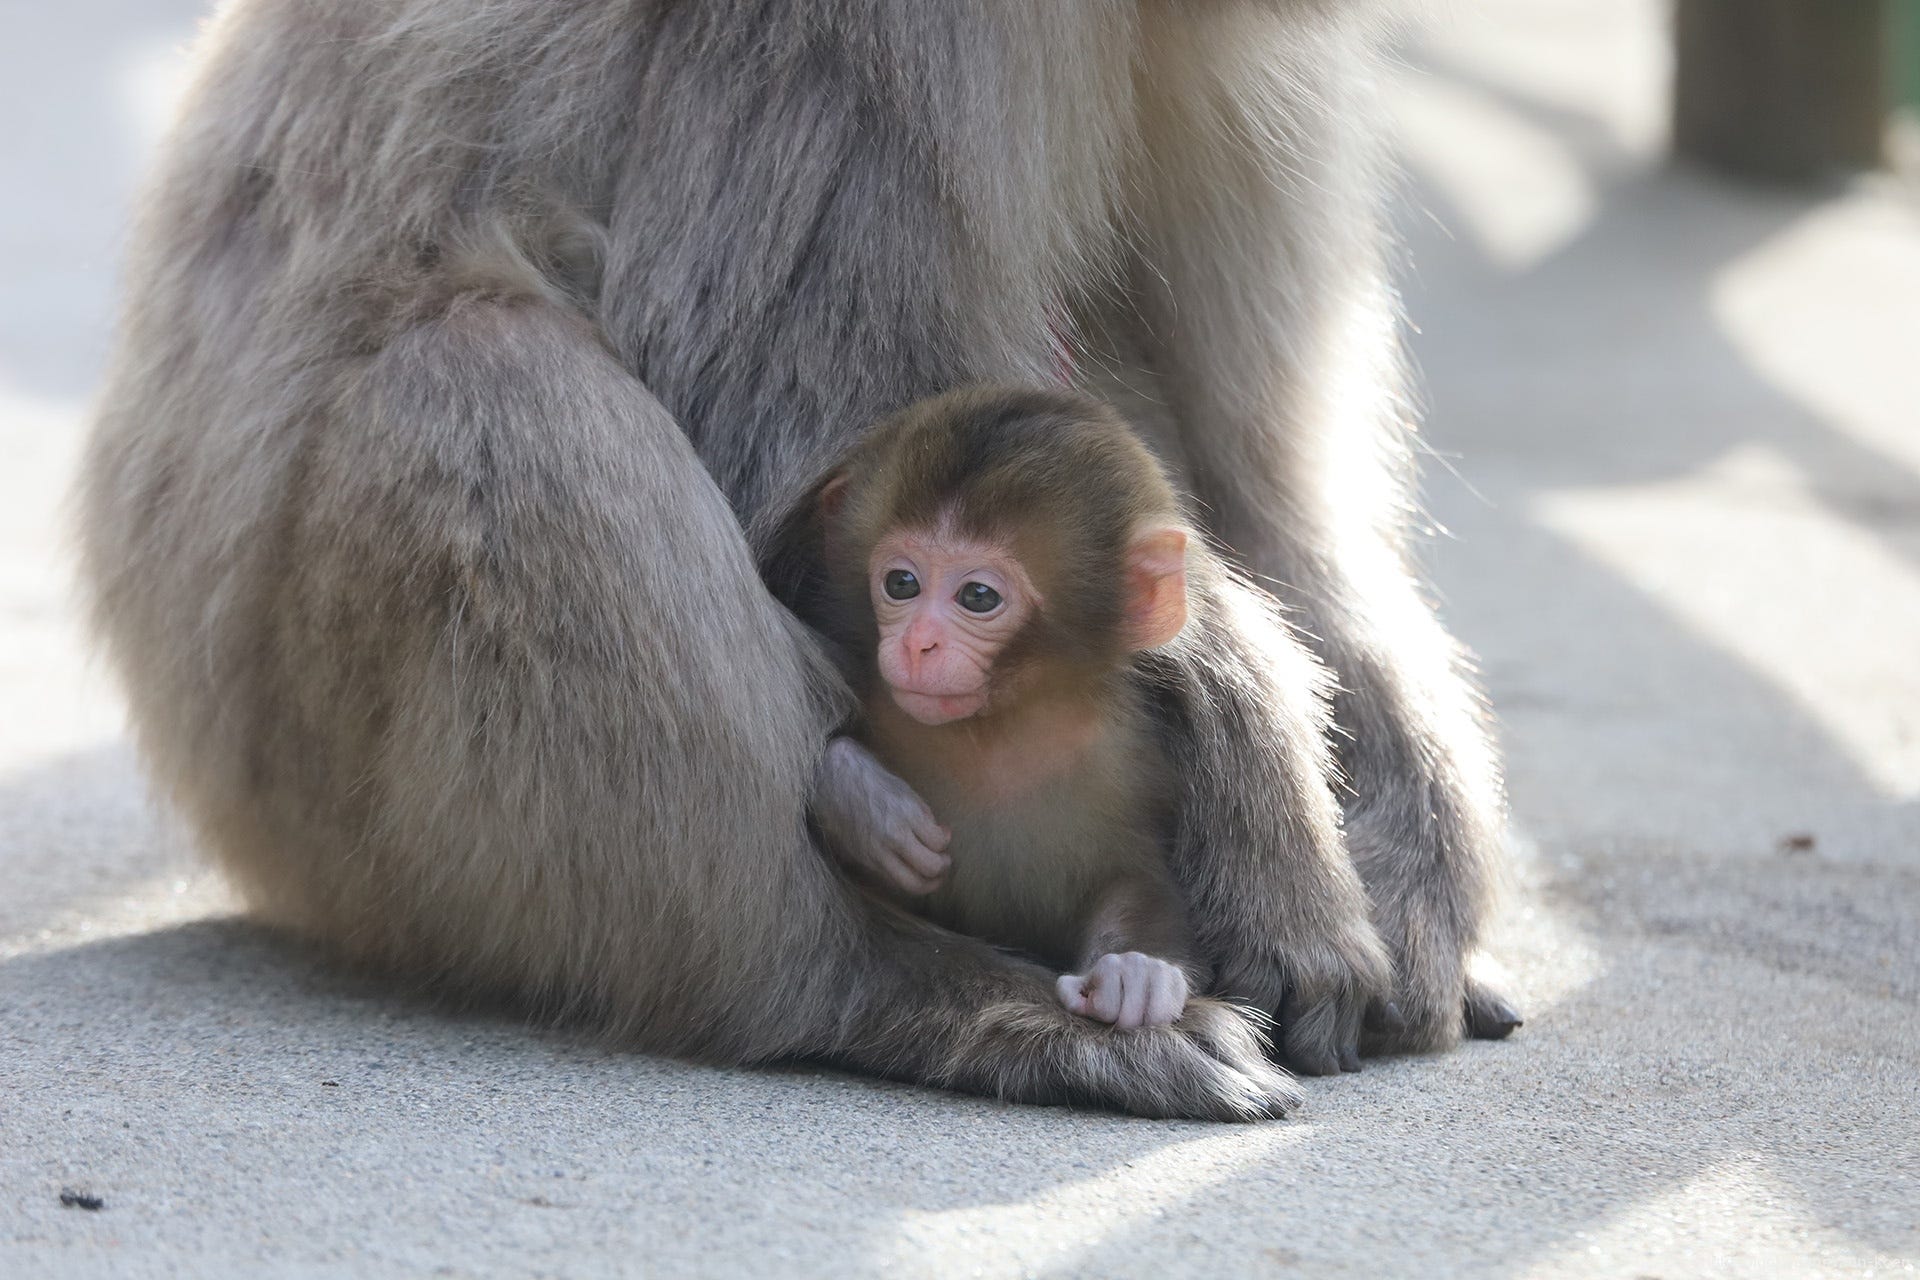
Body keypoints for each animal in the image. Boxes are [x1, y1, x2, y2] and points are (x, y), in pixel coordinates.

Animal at [787, 387, 1215, 1031]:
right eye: (901, 584)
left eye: (978, 597)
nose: (918, 644)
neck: (992, 727)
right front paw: (863, 802)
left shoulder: (1126, 759)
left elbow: (1130, 879)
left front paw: (1135, 971)